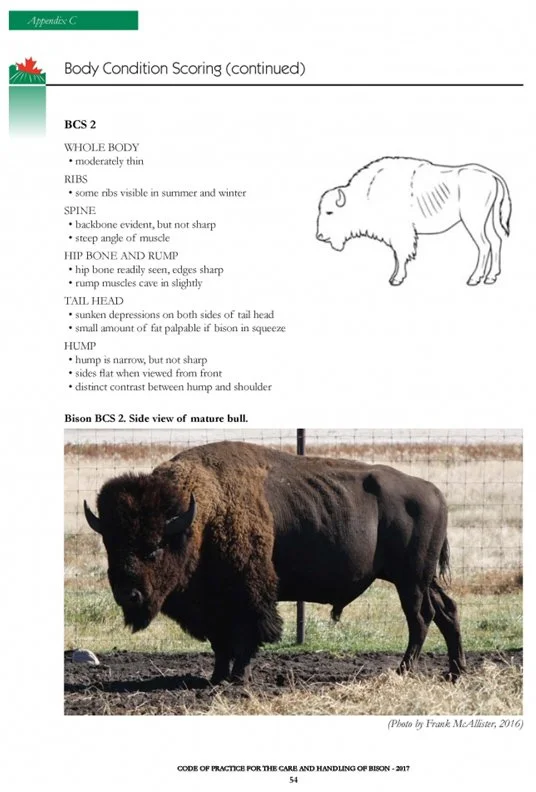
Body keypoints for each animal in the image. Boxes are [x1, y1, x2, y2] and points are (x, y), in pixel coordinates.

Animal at [83, 441, 465, 683]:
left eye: (154, 548)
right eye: (110, 546)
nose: (128, 595)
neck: (200, 518)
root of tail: (435, 492)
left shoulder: (248, 596)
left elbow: (248, 635)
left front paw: (238, 678)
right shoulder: (214, 606)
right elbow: (220, 642)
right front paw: (216, 677)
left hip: (410, 580)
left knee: (421, 618)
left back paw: (402, 671)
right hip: (420, 579)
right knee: (446, 610)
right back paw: (454, 672)